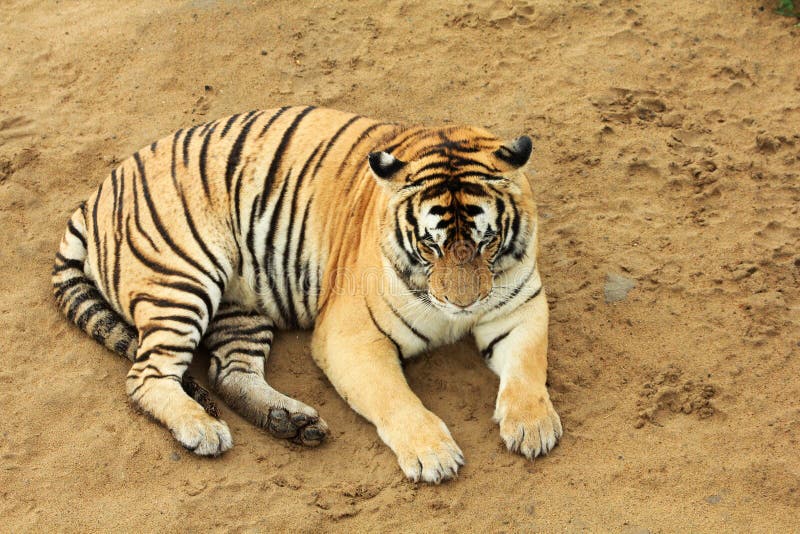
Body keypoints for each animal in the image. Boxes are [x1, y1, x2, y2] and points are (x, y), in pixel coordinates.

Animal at [51, 106, 562, 483]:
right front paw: (432, 454)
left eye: (486, 242)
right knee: (147, 376)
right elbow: (394, 397)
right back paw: (204, 429)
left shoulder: (522, 308)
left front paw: (532, 427)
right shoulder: (350, 335)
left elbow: (527, 366)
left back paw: (291, 422)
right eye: (429, 245)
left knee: (228, 372)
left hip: (240, 309)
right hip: (183, 280)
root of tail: (95, 195)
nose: (463, 305)